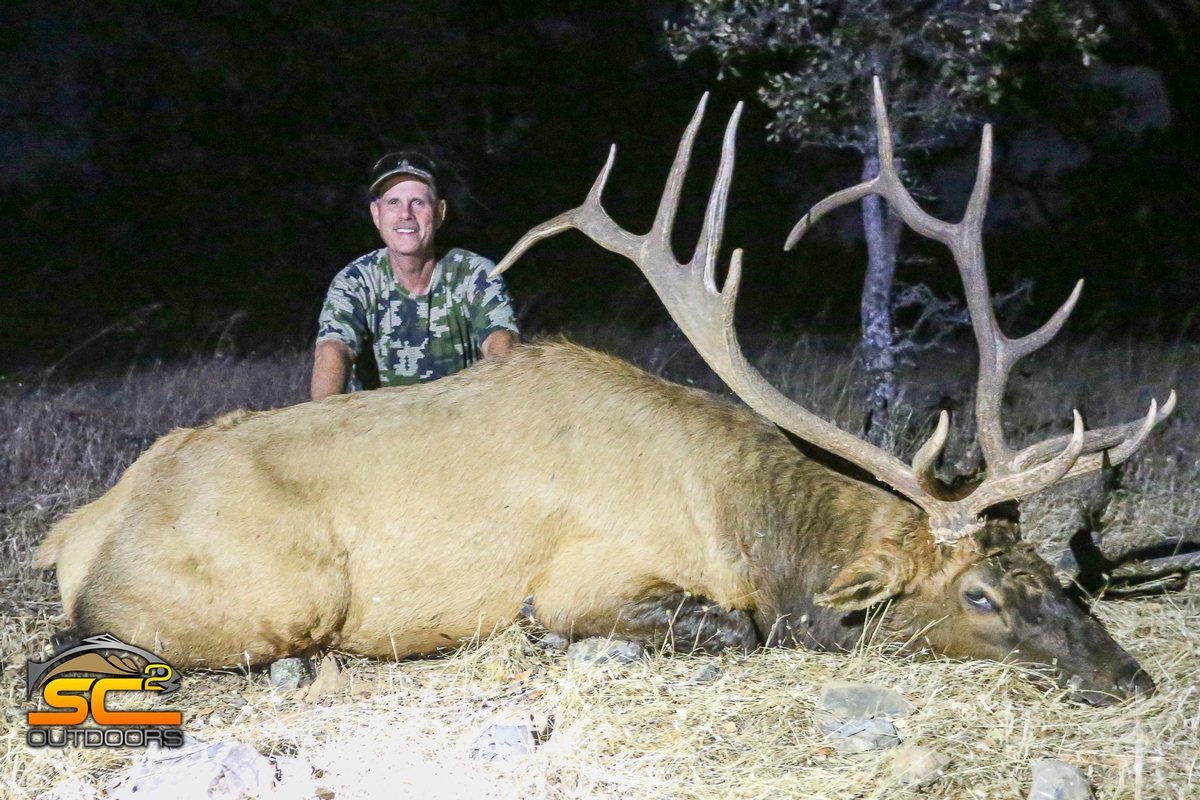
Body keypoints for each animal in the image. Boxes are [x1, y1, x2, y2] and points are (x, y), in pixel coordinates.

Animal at [37, 80, 1173, 705]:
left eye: (1053, 576)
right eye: (978, 595)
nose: (1132, 677)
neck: (747, 521)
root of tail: (75, 531)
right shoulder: (588, 576)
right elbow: (729, 629)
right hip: (277, 591)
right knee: (88, 640)